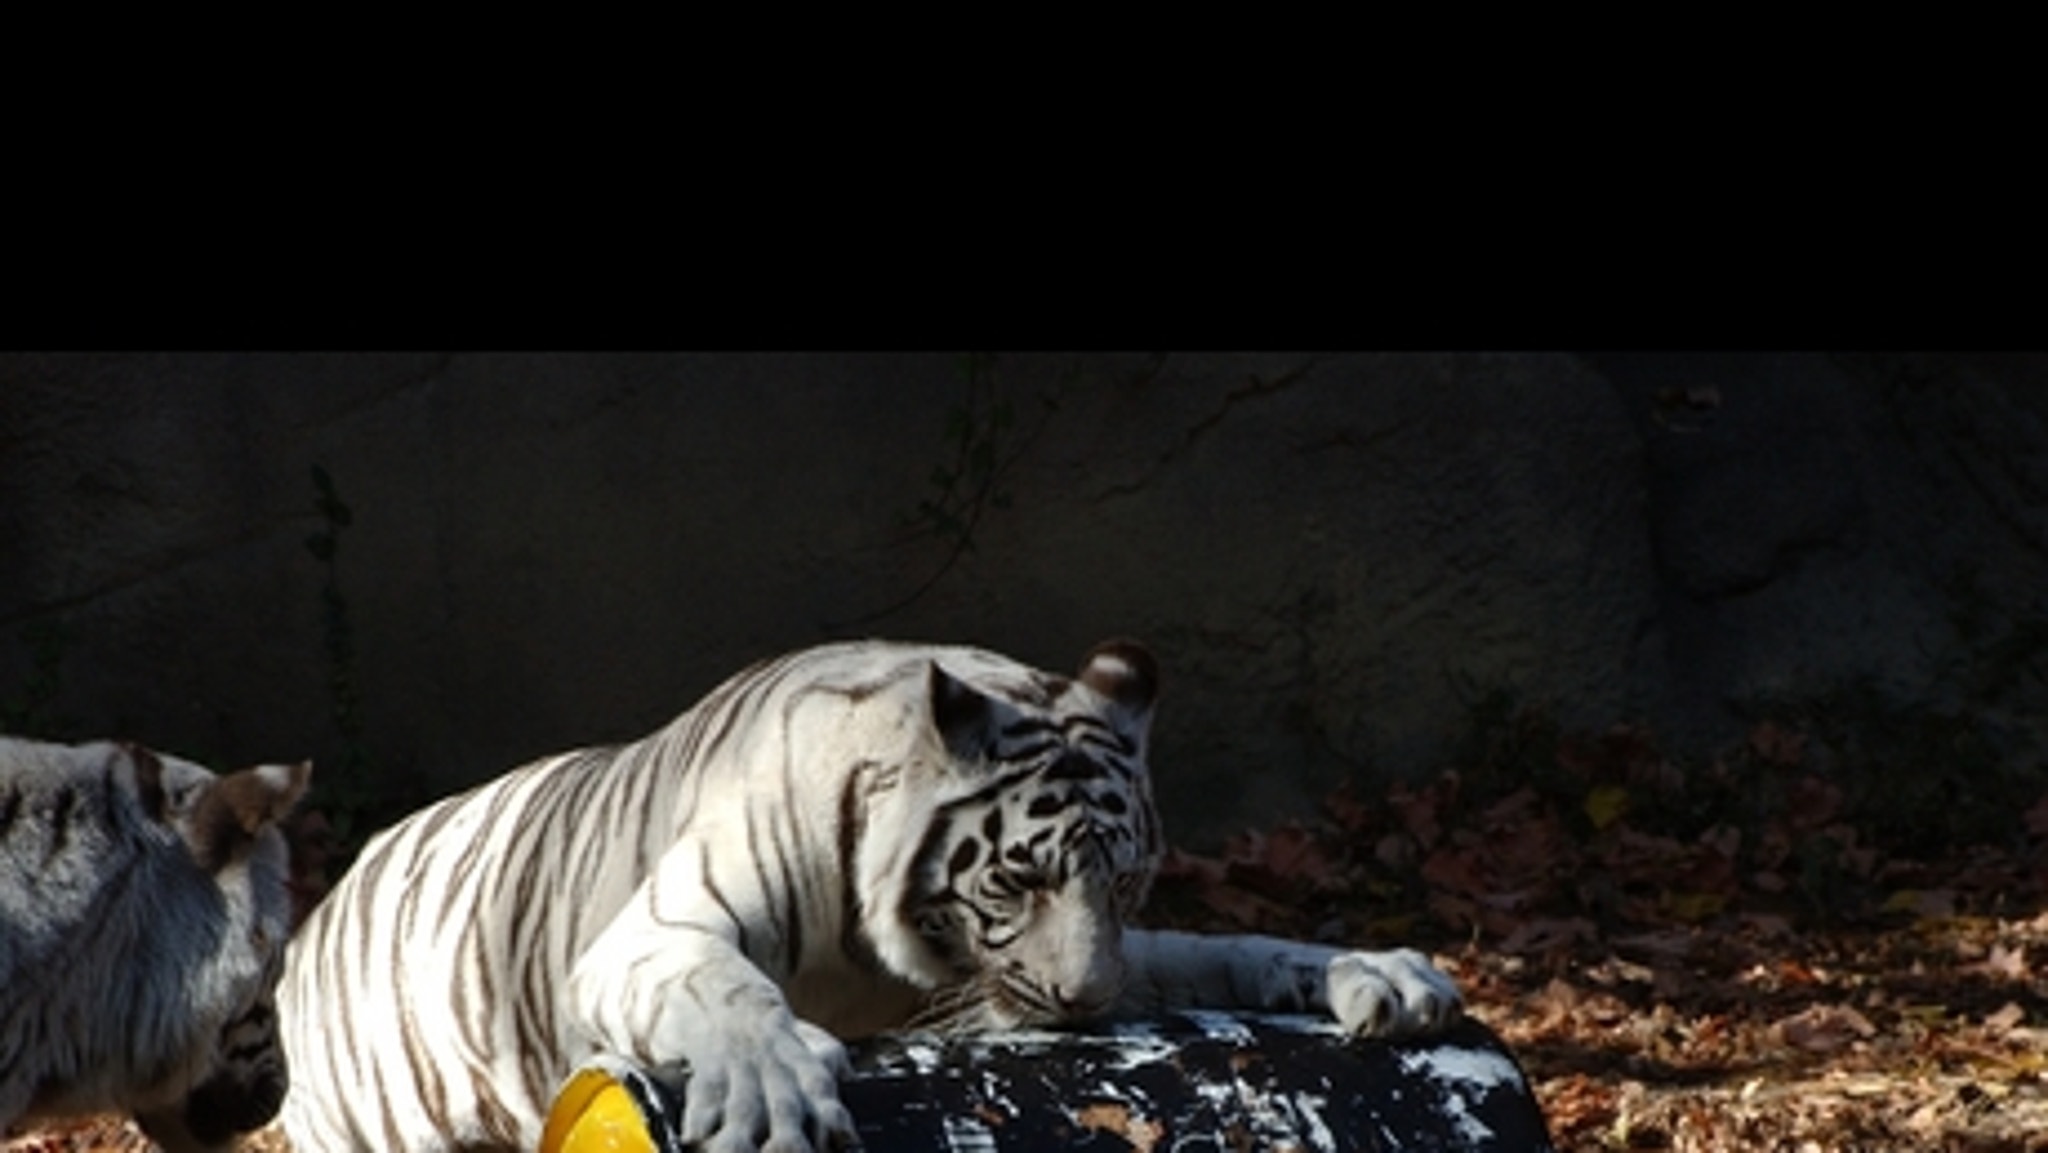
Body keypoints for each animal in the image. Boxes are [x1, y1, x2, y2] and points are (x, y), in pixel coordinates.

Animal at [278, 639, 1462, 1153]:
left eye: (1124, 877)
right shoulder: (653, 935)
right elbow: (728, 991)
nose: (1086, 1008)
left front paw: (1382, 974)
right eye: (1017, 876)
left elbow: (1228, 948)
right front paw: (771, 1096)